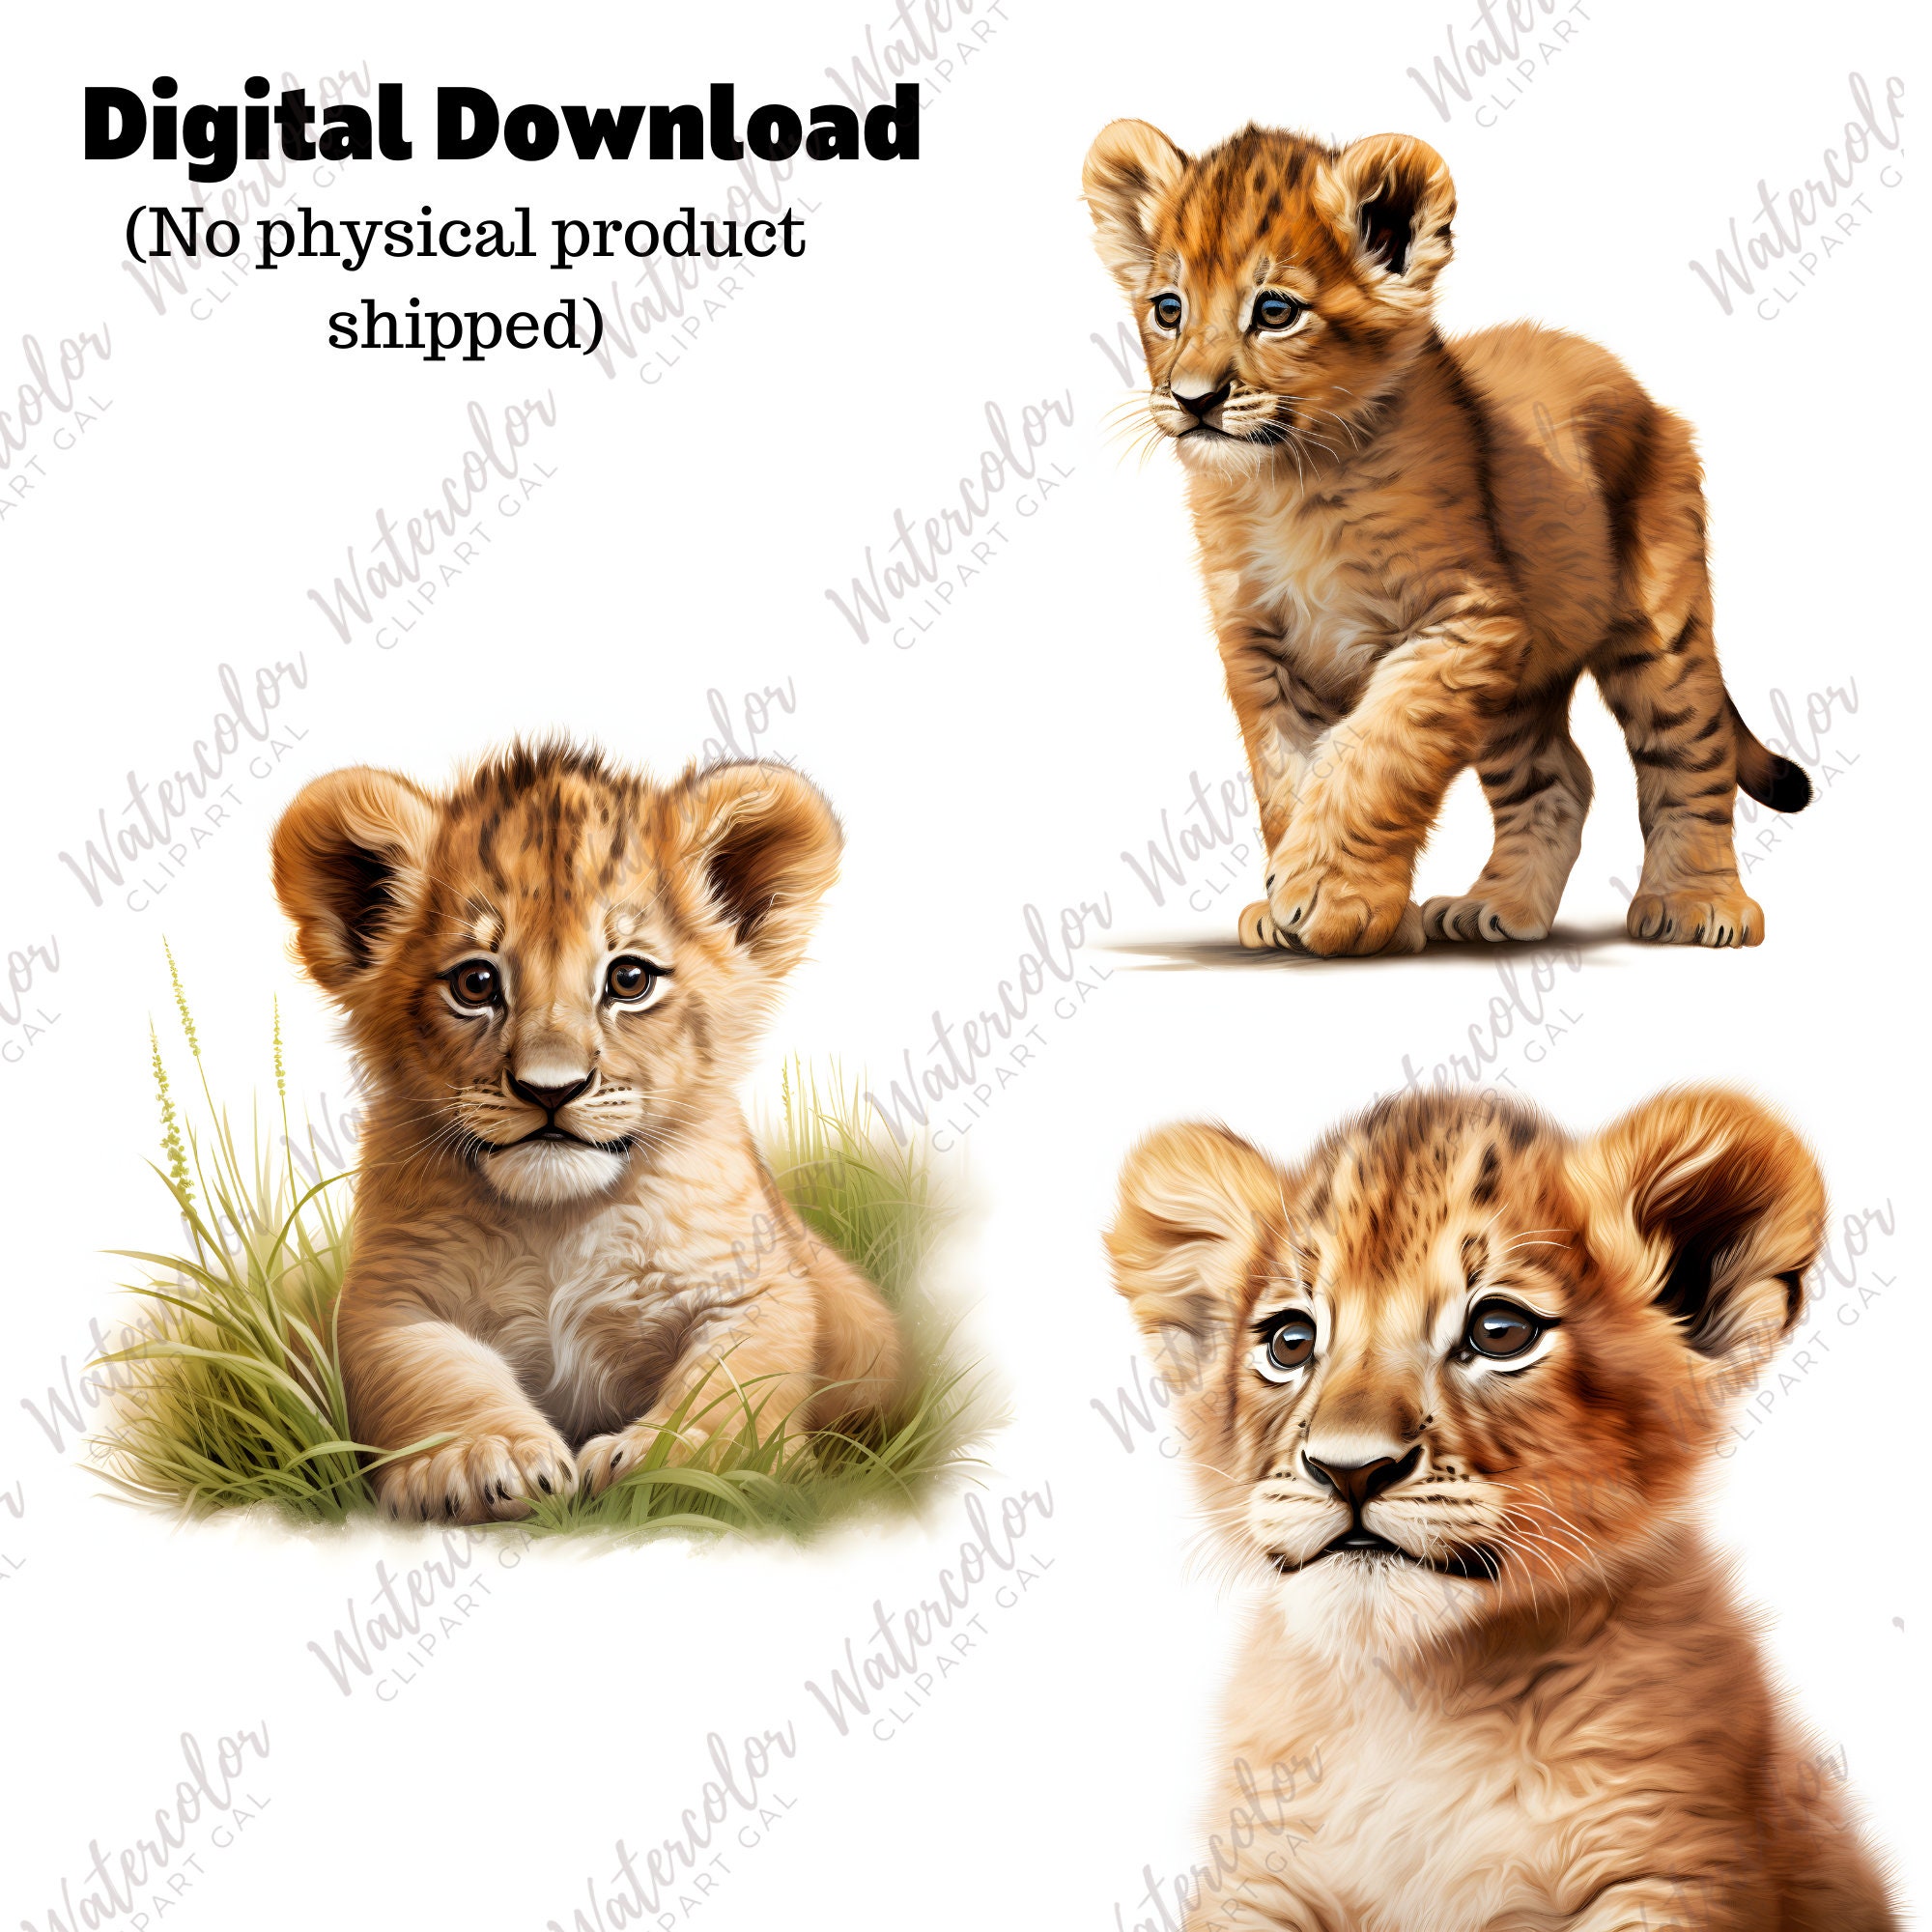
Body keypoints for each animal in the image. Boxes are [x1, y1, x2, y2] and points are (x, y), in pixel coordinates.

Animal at [270, 740, 901, 1523]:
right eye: (475, 984)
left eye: (629, 979)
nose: (551, 1089)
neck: (558, 1224)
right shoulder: (389, 1298)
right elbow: (435, 1372)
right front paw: (484, 1460)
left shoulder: (761, 1283)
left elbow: (732, 1383)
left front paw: (679, 1459)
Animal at [1082, 120, 1812, 955]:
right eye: (1168, 309)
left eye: (1274, 312)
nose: (1193, 399)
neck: (1285, 483)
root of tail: (1640, 392)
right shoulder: (1262, 650)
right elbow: (1286, 779)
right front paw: (1313, 910)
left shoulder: (1463, 620)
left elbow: (1375, 754)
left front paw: (1328, 896)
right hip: (1515, 691)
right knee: (1560, 780)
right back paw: (1497, 908)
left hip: (1659, 631)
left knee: (1691, 756)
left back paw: (1700, 905)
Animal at [1105, 1087, 1897, 1931]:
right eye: (1289, 1342)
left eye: (1500, 1332)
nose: (1350, 1470)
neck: (1422, 1699)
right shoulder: (1260, 1876)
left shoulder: (1667, 1868)